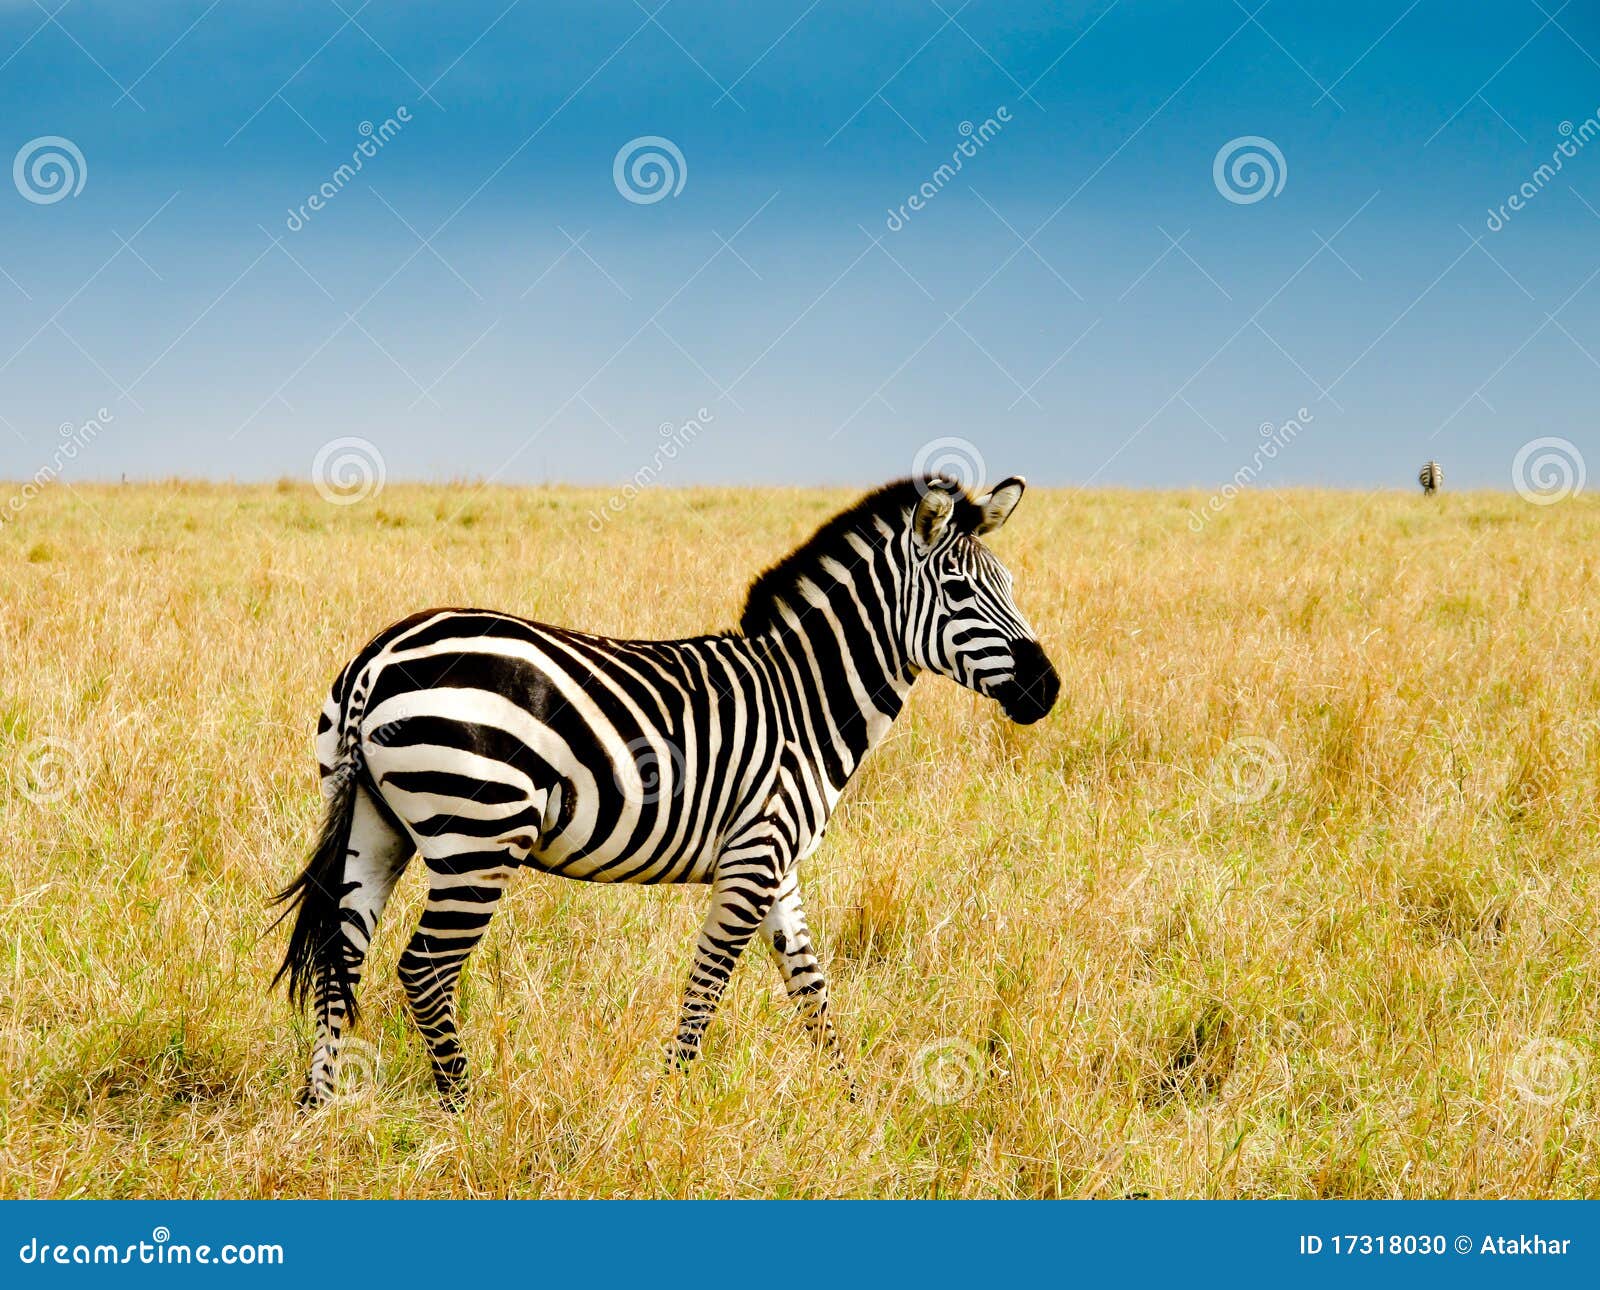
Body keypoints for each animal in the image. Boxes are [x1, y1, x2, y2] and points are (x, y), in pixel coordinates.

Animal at [275, 474, 1060, 1107]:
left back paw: (318, 1110)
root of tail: (379, 656)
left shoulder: (777, 861)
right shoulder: (753, 858)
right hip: (479, 834)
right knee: (424, 969)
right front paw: (669, 1103)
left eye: (1009, 587)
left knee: (342, 961)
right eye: (958, 592)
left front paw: (851, 1103)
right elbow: (708, 984)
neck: (806, 696)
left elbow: (810, 985)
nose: (1045, 689)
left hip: (374, 825)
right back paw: (464, 1108)